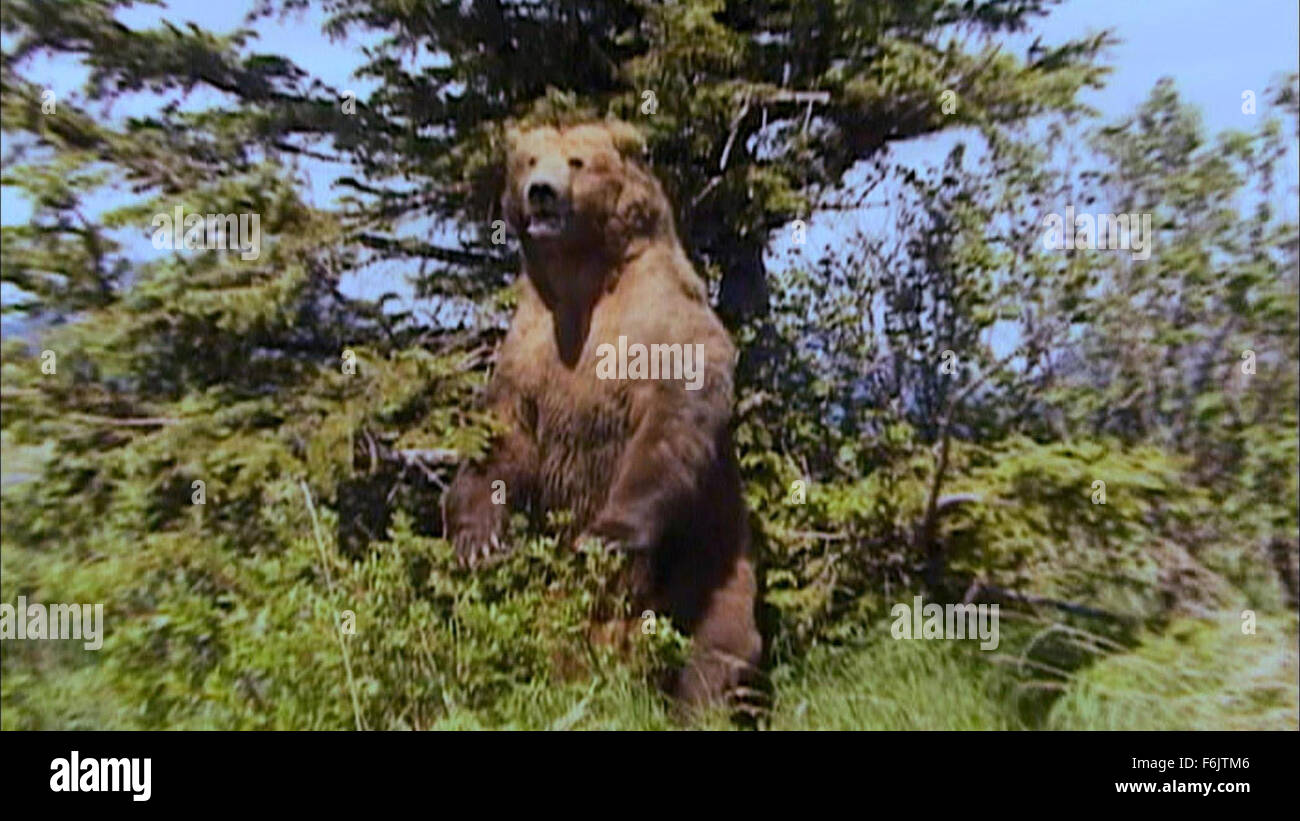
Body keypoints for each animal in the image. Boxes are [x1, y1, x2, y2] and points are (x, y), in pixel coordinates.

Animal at [443, 120, 761, 707]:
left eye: (576, 162)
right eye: (528, 161)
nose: (541, 192)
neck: (583, 278)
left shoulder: (658, 322)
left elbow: (673, 418)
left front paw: (608, 532)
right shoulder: (531, 350)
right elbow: (505, 434)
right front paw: (478, 538)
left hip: (714, 555)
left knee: (719, 645)